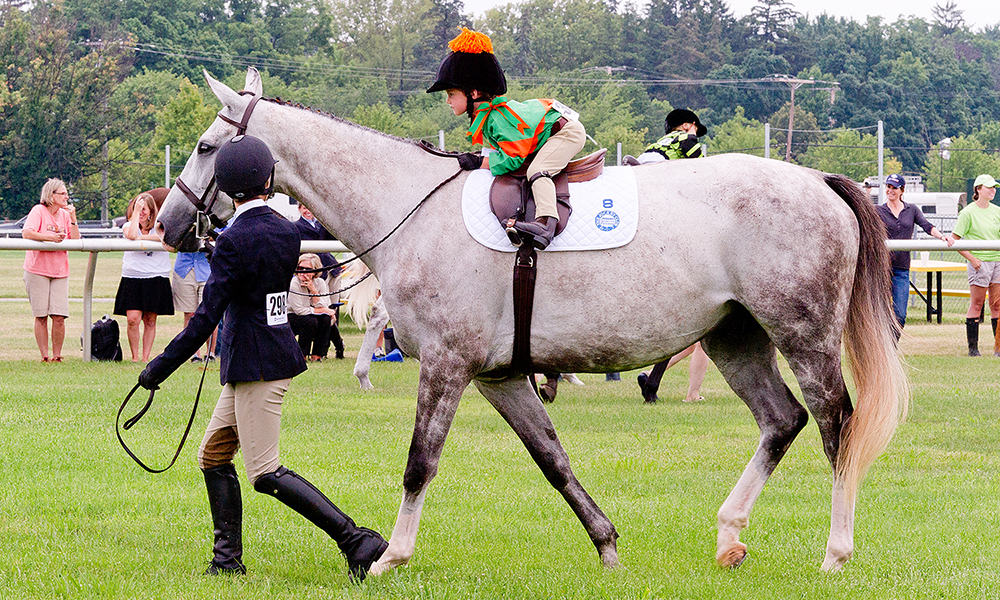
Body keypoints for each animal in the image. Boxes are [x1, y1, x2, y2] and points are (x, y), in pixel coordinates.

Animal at [156, 67, 908, 575]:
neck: (411, 206)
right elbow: (552, 458)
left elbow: (419, 464)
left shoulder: (449, 366)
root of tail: (816, 181)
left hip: (802, 336)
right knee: (782, 420)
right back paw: (729, 532)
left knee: (837, 427)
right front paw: (606, 547)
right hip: (734, 336)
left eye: (204, 146)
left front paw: (391, 555)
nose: (168, 225)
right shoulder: (499, 376)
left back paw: (835, 552)